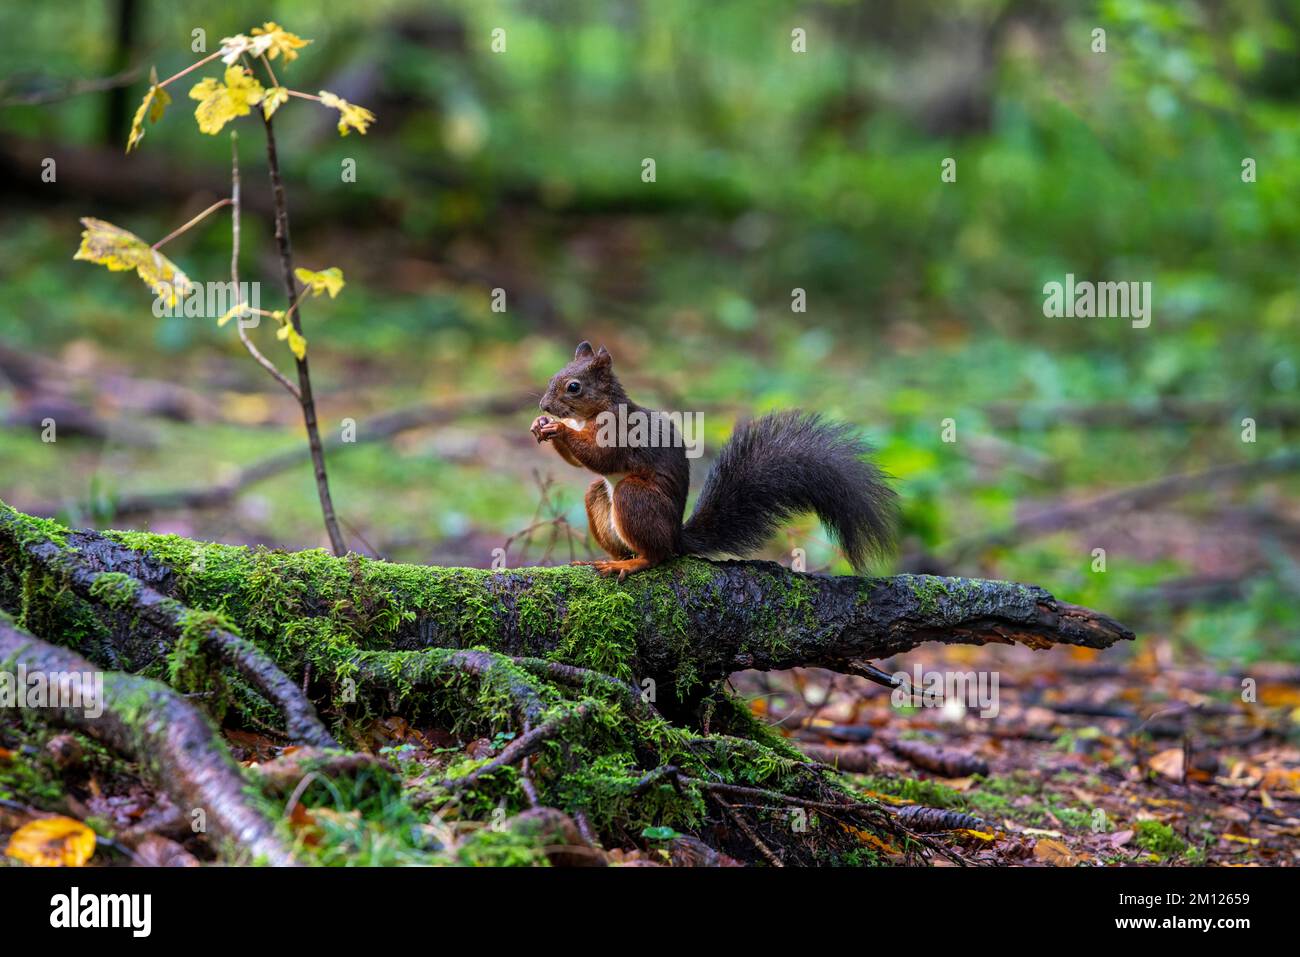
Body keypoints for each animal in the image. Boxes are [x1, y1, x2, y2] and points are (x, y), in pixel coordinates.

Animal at [530, 340, 898, 579]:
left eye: (574, 387)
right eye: (552, 378)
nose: (544, 406)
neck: (594, 413)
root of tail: (676, 538)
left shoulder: (621, 432)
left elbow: (602, 457)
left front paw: (559, 427)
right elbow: (582, 463)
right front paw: (541, 426)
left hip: (635, 496)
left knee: (656, 555)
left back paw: (630, 564)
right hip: (600, 498)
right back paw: (602, 560)